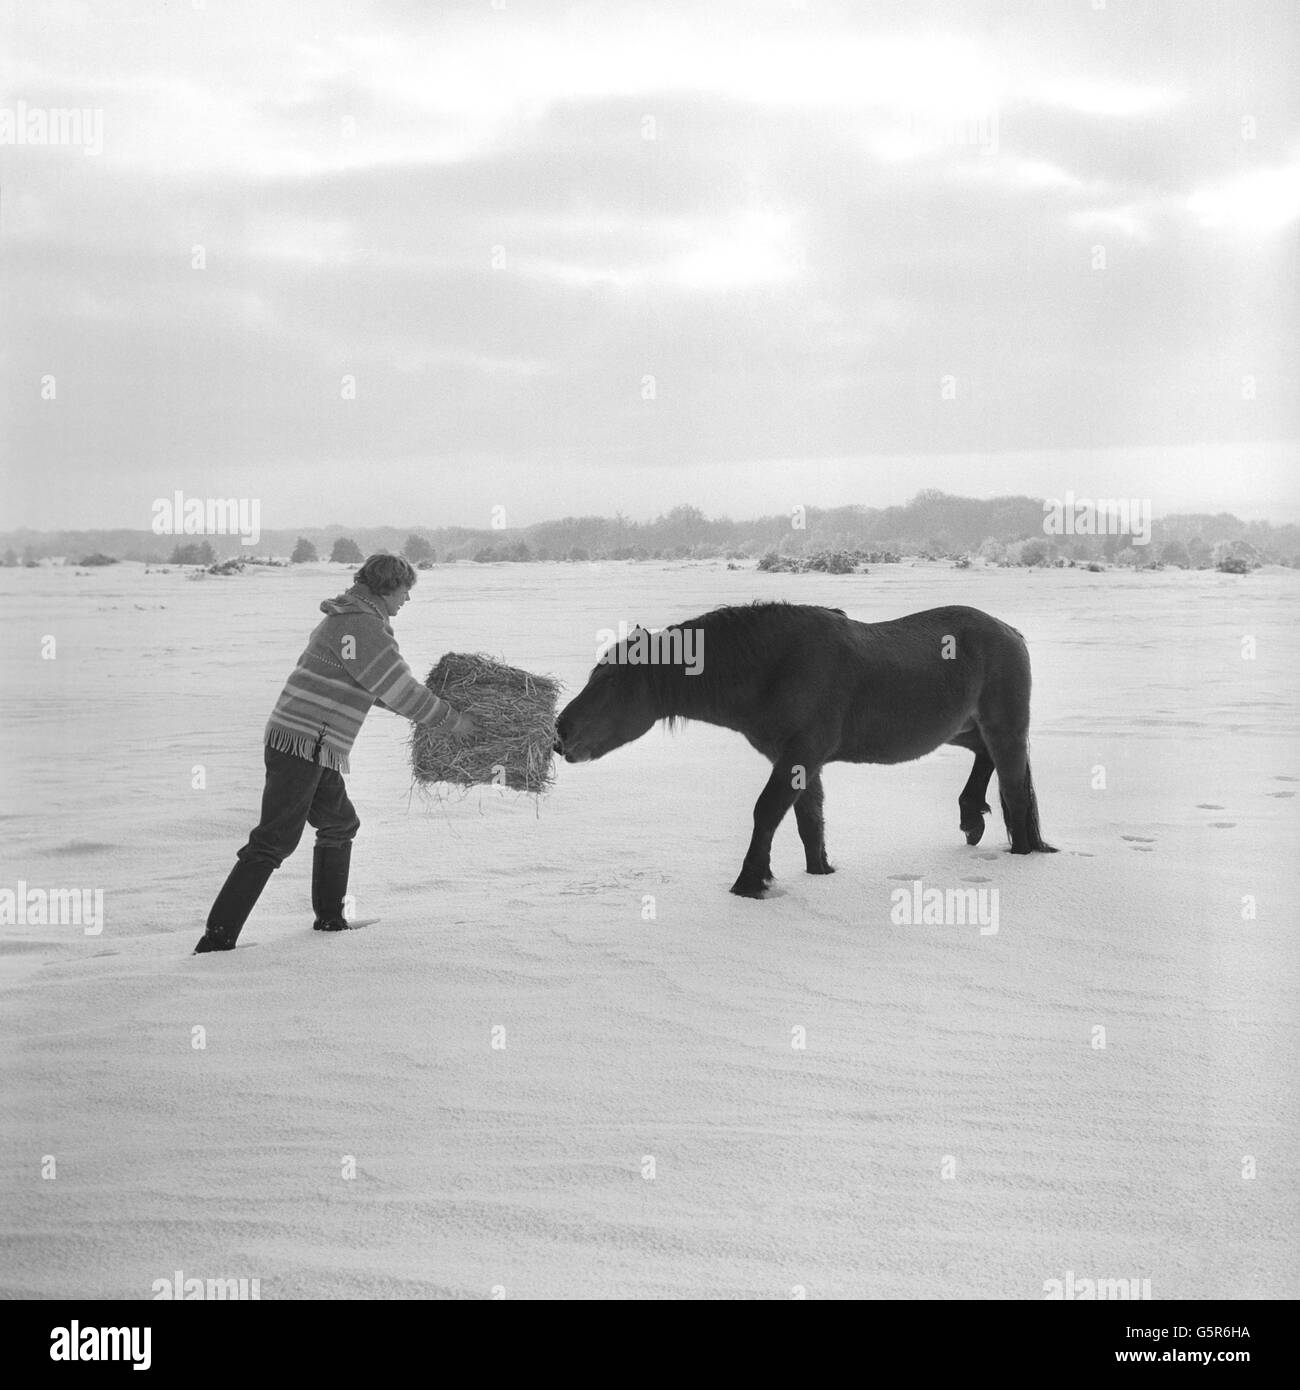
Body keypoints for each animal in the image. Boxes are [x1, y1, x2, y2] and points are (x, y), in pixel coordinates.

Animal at [553, 601, 1056, 897]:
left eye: (610, 680)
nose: (561, 729)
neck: (775, 666)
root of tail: (1011, 631)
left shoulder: (800, 754)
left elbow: (767, 812)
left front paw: (749, 883)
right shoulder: (800, 761)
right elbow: (807, 820)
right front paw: (820, 873)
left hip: (1003, 726)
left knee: (1014, 788)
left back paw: (1021, 853)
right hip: (965, 728)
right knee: (987, 760)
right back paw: (971, 816)